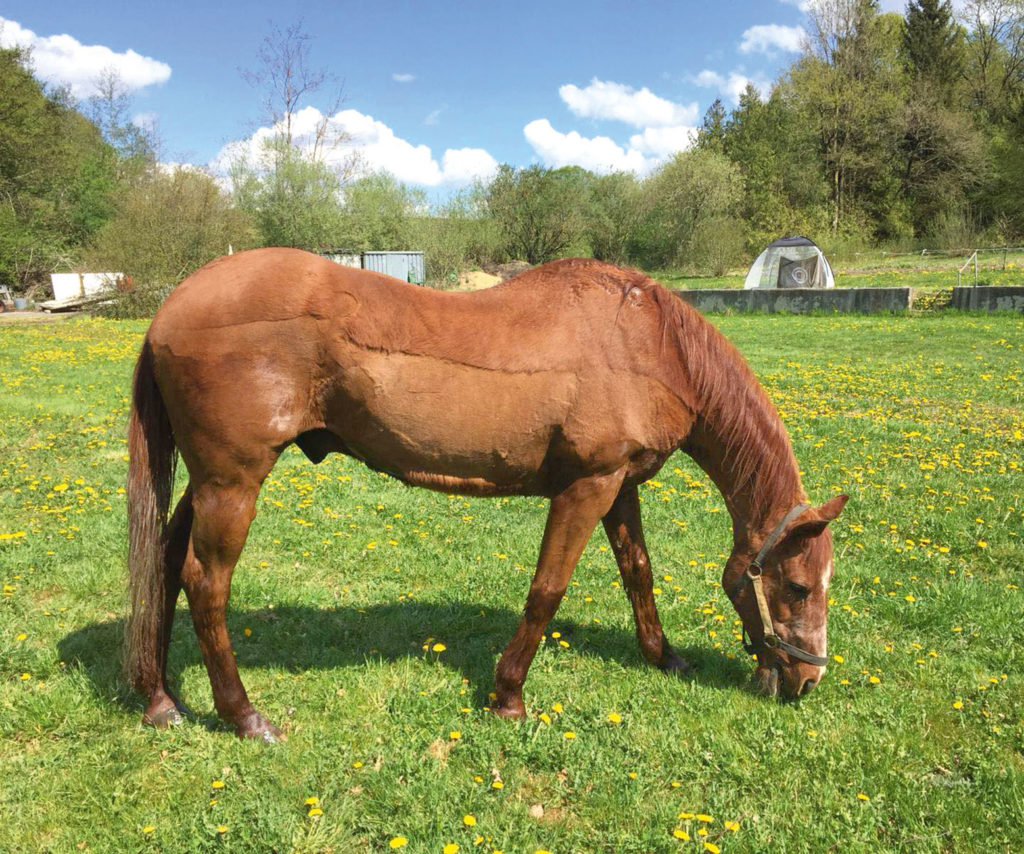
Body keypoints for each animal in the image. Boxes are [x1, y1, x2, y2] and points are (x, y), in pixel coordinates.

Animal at [124, 248, 847, 741]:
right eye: (797, 586)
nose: (808, 679)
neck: (650, 344)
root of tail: (170, 309)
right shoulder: (587, 487)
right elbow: (548, 589)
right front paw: (508, 696)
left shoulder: (619, 487)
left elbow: (638, 572)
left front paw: (664, 656)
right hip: (233, 482)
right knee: (204, 582)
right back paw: (245, 716)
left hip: (210, 482)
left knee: (163, 561)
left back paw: (160, 700)